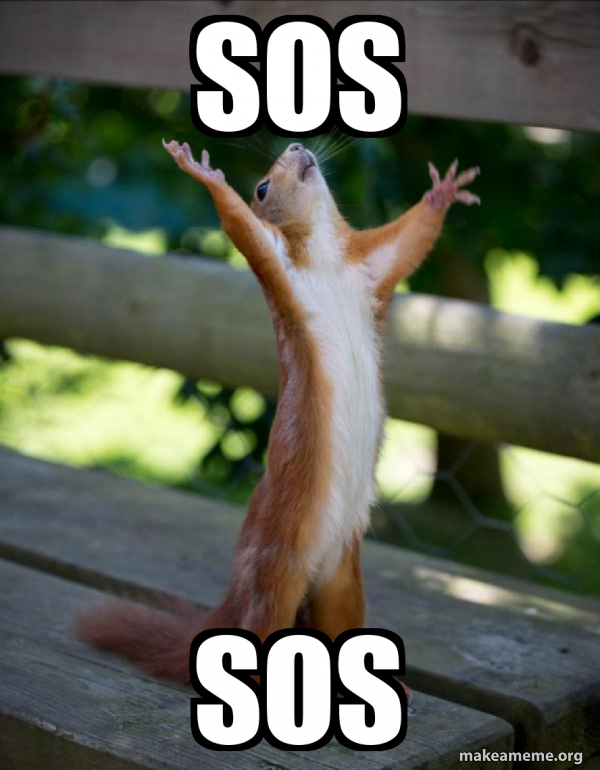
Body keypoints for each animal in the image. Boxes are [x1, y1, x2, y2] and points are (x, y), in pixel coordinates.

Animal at [77, 139, 479, 697]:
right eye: (263, 187)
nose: (295, 145)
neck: (327, 260)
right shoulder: (278, 265)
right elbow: (240, 226)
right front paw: (204, 173)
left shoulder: (372, 267)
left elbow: (410, 239)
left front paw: (442, 192)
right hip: (275, 577)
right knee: (260, 636)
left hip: (343, 586)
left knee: (341, 629)